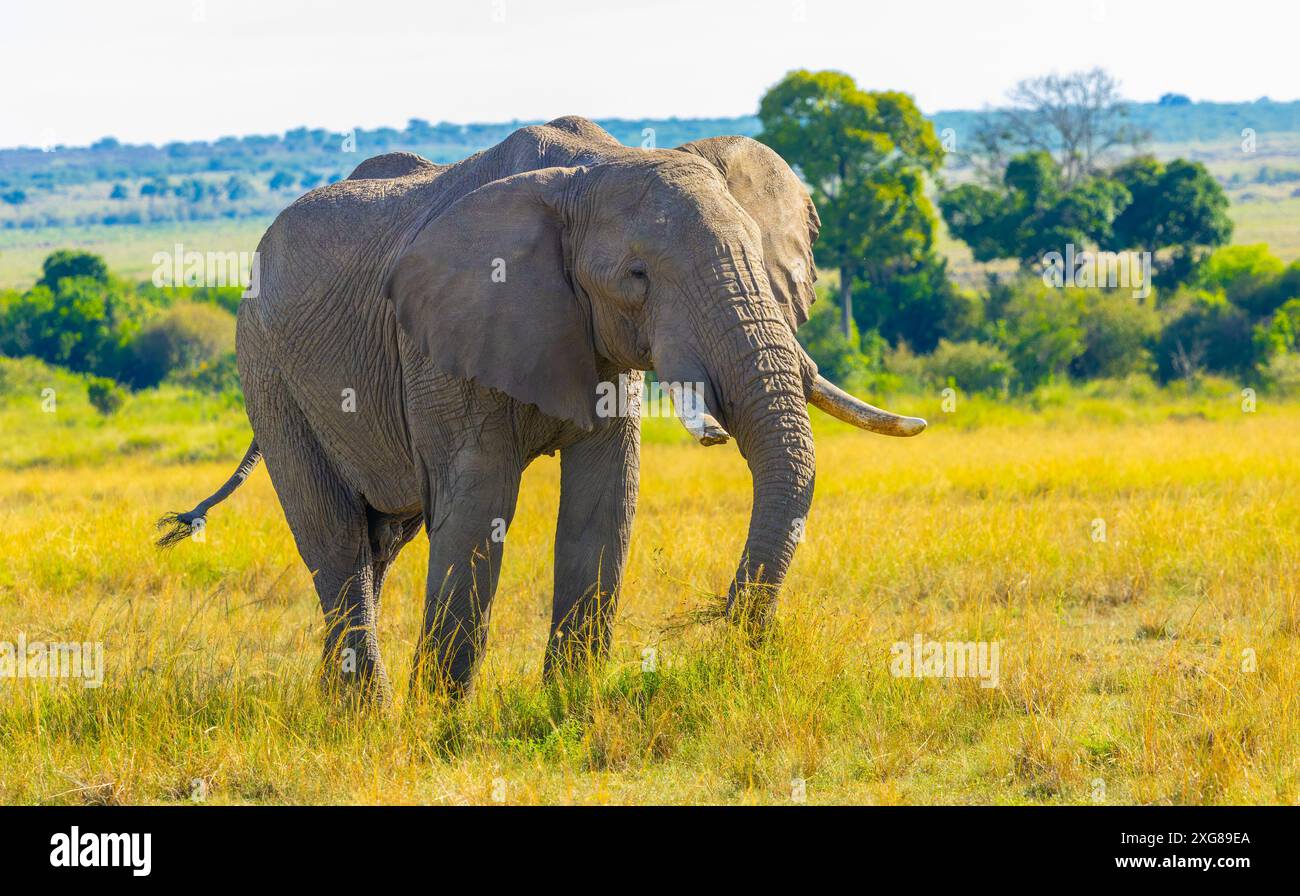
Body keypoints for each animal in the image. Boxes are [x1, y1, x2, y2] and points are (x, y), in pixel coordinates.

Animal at [157, 116, 925, 703]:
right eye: (636, 278)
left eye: (763, 266)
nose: (726, 629)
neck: (598, 166)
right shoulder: (445, 336)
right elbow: (477, 505)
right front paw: (441, 725)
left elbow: (605, 501)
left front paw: (569, 705)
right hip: (267, 372)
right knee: (336, 539)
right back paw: (365, 716)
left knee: (378, 545)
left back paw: (336, 709)